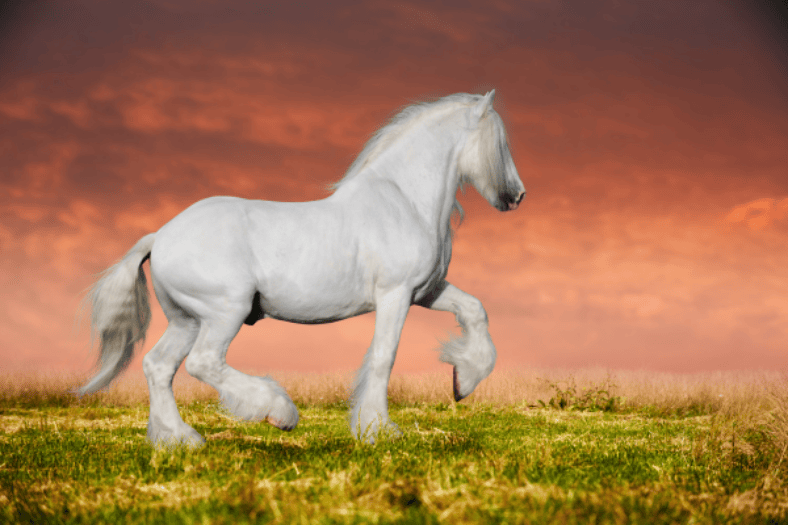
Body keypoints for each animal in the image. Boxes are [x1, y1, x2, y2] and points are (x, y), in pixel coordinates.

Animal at [78, 90, 525, 447]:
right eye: (500, 142)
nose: (517, 195)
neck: (404, 200)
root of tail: (160, 236)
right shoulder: (395, 295)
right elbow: (384, 357)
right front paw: (378, 430)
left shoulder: (426, 291)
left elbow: (474, 309)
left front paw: (463, 382)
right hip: (225, 311)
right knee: (202, 363)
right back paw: (279, 413)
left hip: (186, 319)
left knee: (158, 367)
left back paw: (182, 439)